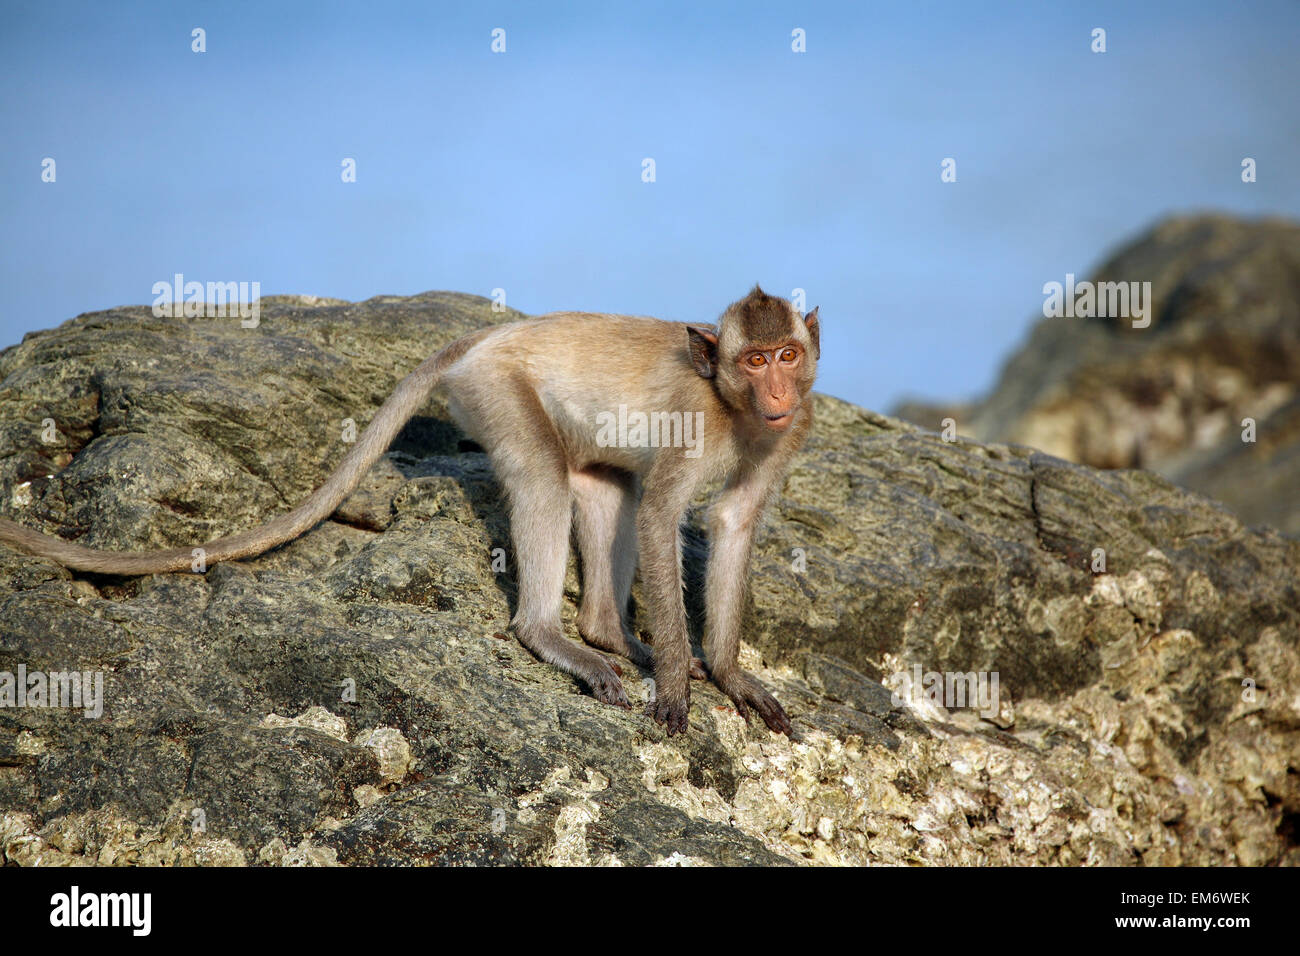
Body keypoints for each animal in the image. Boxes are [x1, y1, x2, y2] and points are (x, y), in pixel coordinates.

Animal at [0, 286, 819, 736]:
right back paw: (552, 636)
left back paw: (607, 634)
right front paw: (681, 683)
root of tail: (489, 336)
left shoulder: (785, 435)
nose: (778, 389)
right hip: (498, 391)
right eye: (753, 360)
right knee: (547, 476)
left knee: (596, 482)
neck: (734, 408)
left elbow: (732, 522)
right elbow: (658, 515)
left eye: (786, 356)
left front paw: (728, 673)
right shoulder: (694, 421)